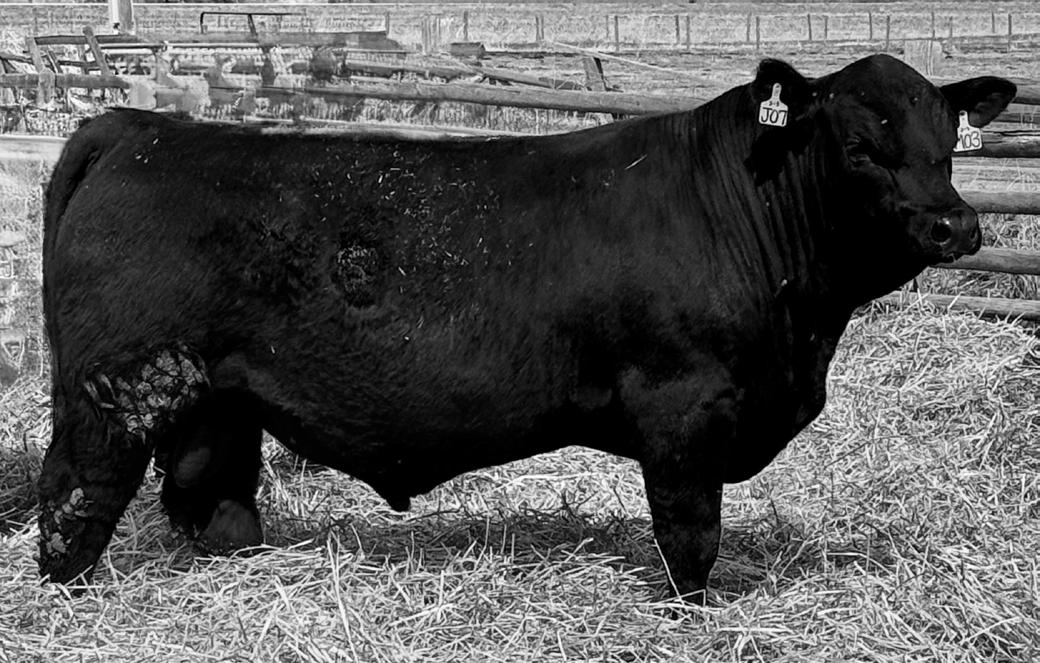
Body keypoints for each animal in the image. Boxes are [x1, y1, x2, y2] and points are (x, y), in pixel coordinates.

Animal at [38, 54, 1014, 602]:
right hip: (109, 397)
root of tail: (137, 129)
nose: (953, 225)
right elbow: (690, 533)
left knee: (213, 498)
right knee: (72, 497)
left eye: (948, 142)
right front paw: (694, 610)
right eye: (858, 144)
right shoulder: (683, 409)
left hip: (216, 399)